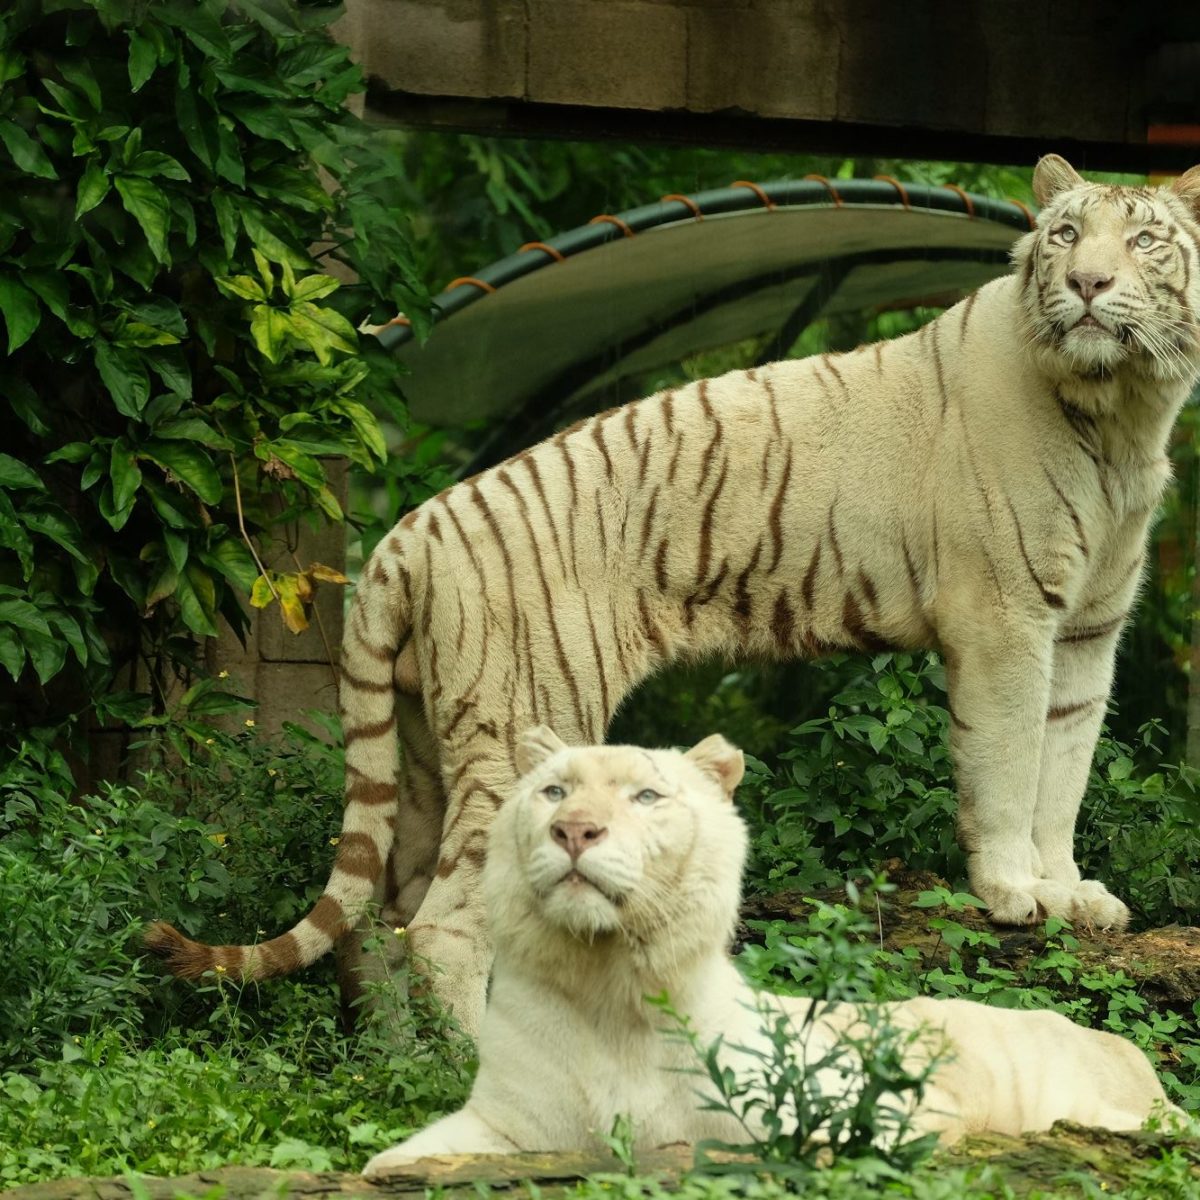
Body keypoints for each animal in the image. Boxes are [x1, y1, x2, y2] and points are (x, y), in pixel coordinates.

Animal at [145, 155, 1200, 1041]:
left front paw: (1074, 893)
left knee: (382, 918)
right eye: (1066, 234)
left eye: (1144, 241)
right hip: (523, 715)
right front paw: (1016, 891)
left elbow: (1065, 769)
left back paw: (395, 1065)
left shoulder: (1088, 628)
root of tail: (411, 531)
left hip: (419, 743)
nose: (1088, 285)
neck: (1121, 414)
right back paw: (473, 1068)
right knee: (447, 923)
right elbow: (1012, 766)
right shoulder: (1004, 618)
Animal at [361, 727, 1177, 1175]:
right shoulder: (506, 1126)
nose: (575, 831)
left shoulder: (872, 1115)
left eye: (646, 797)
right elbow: (389, 1161)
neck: (608, 986)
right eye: (554, 793)